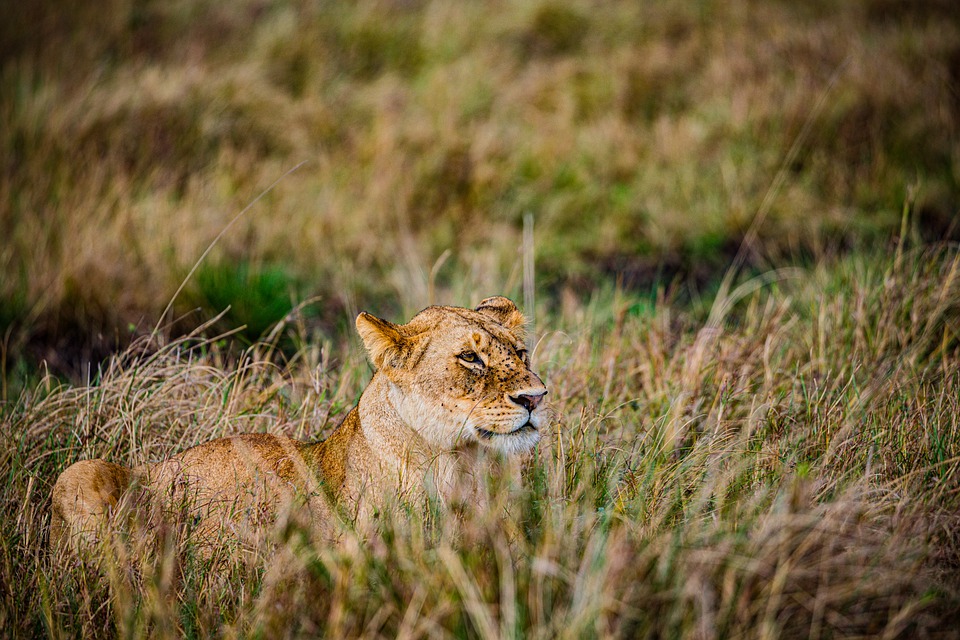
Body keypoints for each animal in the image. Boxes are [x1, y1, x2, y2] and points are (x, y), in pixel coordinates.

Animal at [50, 296, 548, 554]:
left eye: (521, 353)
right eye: (470, 357)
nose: (535, 397)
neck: (464, 464)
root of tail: (151, 469)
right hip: (80, 472)